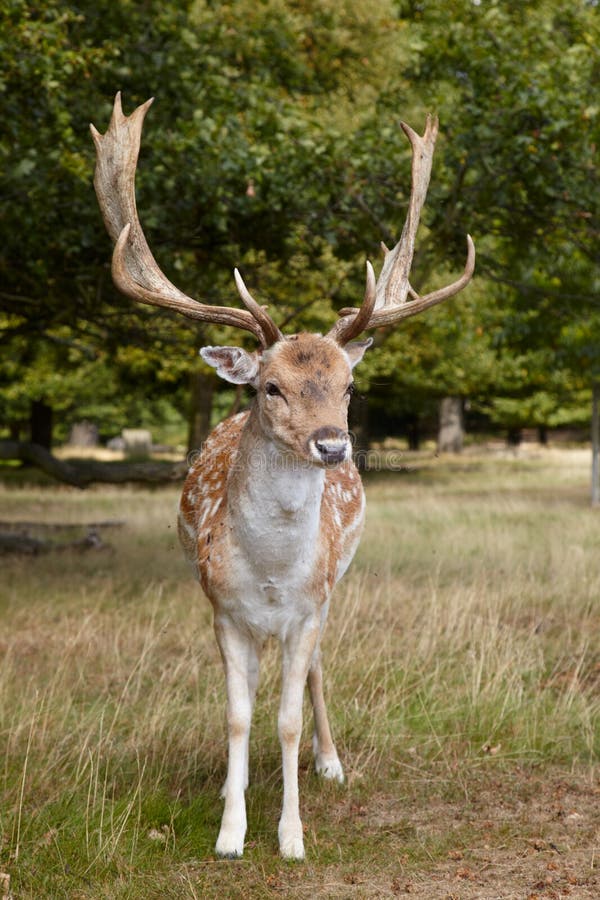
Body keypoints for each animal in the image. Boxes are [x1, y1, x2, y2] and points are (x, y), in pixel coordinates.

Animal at [90, 93, 475, 860]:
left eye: (348, 386)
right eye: (271, 386)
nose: (332, 443)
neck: (268, 572)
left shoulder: (307, 606)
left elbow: (287, 719)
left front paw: (292, 836)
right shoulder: (223, 609)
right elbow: (239, 716)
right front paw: (230, 831)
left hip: (334, 587)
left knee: (319, 666)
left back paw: (330, 764)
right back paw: (232, 785)